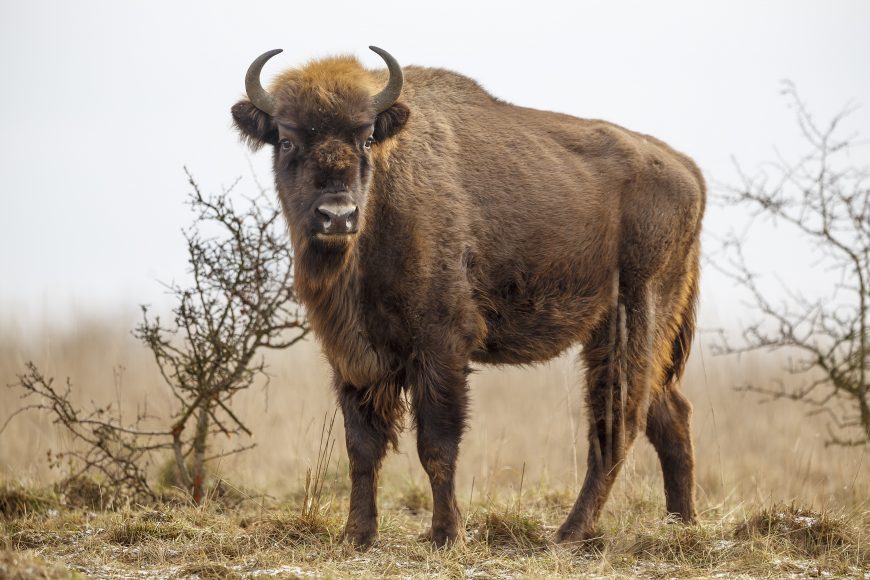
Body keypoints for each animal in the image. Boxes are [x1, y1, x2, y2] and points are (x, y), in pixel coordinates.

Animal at [231, 46, 705, 547]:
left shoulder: (441, 346)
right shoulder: (355, 356)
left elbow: (436, 446)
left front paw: (445, 533)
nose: (337, 215)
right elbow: (362, 448)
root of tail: (688, 172)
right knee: (669, 413)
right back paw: (682, 523)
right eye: (286, 141)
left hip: (630, 319)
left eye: (365, 139)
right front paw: (357, 534)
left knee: (617, 425)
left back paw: (570, 533)